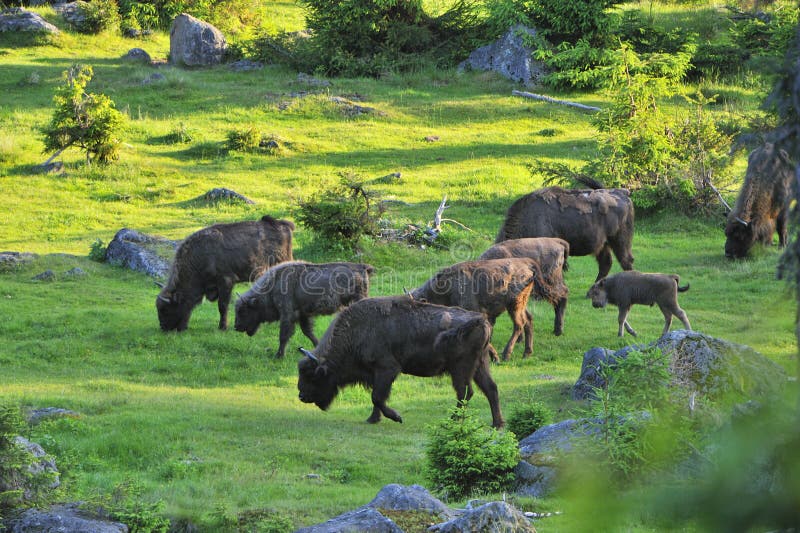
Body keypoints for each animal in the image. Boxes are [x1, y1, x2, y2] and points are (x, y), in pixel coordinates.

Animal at [156, 215, 294, 331]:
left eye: (165, 309)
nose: (163, 328)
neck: (200, 256)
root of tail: (281, 224)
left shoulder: (226, 281)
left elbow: (222, 306)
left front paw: (223, 327)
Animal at [234, 261, 374, 358]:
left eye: (243, 311)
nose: (236, 327)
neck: (273, 285)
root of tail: (363, 267)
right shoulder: (303, 315)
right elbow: (308, 332)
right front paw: (317, 346)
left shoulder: (287, 315)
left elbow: (284, 335)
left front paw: (278, 355)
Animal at [297, 296, 504, 428]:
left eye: (313, 376)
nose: (301, 396)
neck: (356, 332)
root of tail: (481, 320)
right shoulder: (376, 374)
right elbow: (376, 397)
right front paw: (372, 419)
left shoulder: (387, 369)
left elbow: (377, 397)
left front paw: (396, 417)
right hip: (480, 366)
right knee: (490, 389)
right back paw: (497, 424)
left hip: (460, 369)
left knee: (465, 392)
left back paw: (453, 421)